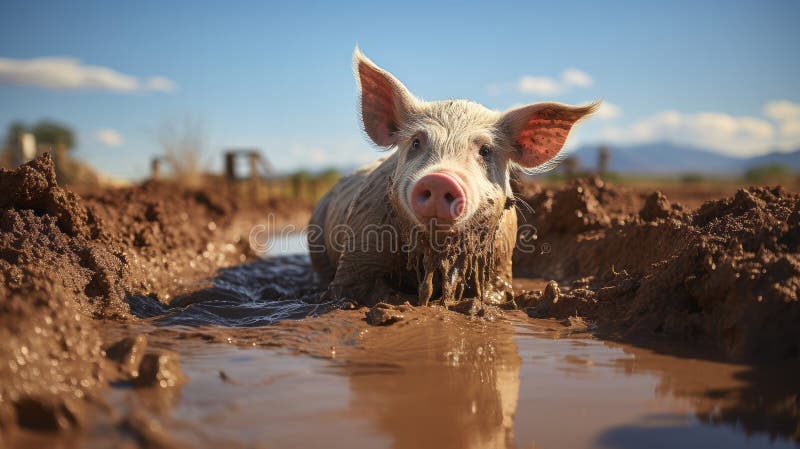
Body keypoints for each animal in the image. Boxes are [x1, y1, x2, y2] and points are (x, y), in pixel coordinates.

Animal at [308, 48, 597, 306]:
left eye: (485, 150)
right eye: (416, 142)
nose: (440, 178)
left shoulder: (502, 259)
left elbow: (494, 292)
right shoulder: (360, 241)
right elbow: (352, 286)